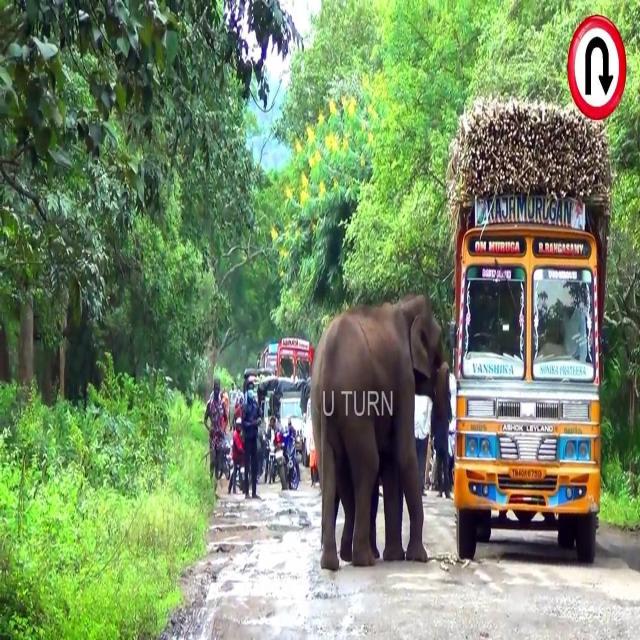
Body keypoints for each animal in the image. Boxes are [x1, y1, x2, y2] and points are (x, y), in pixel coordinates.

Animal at [311, 294, 447, 570]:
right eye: (438, 341)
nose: (444, 368)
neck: (402, 308)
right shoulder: (403, 377)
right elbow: (402, 453)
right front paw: (417, 557)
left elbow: (390, 458)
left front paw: (394, 555)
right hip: (356, 403)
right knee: (367, 463)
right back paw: (363, 559)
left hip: (321, 412)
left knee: (333, 468)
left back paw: (334, 561)